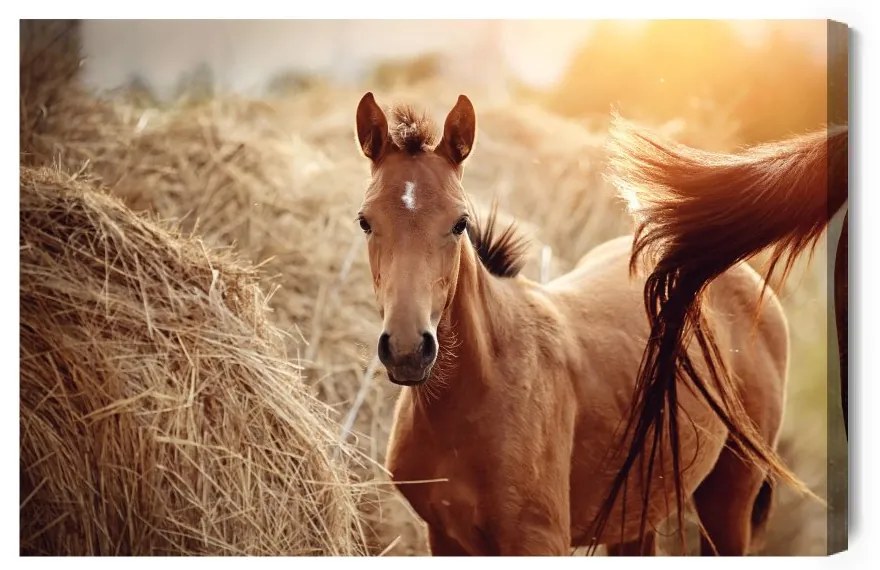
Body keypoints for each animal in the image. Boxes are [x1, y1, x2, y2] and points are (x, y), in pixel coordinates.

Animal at [354, 94, 800, 556]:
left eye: (460, 223)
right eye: (365, 221)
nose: (407, 350)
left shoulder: (538, 540)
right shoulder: (443, 536)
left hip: (728, 498)